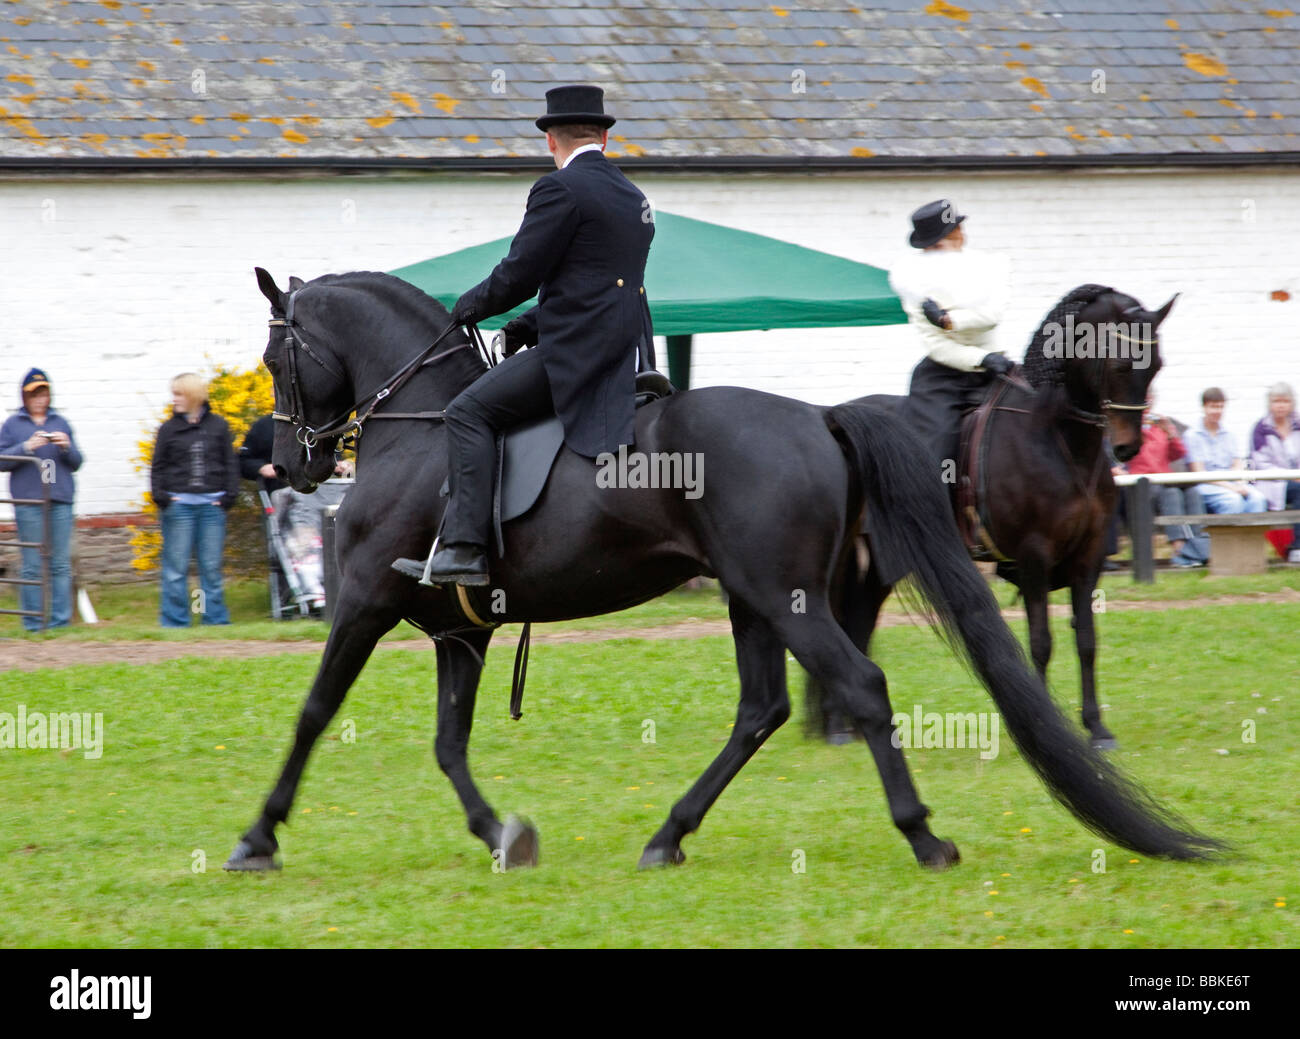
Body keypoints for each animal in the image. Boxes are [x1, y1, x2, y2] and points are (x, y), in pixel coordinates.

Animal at [807, 285, 1175, 751]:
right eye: (1121, 363)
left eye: (1157, 365)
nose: (1127, 448)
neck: (1056, 438)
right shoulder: (1034, 556)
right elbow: (1041, 642)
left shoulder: (1087, 559)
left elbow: (1087, 641)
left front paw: (1096, 728)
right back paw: (838, 727)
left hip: (879, 564)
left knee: (859, 622)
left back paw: (851, 725)